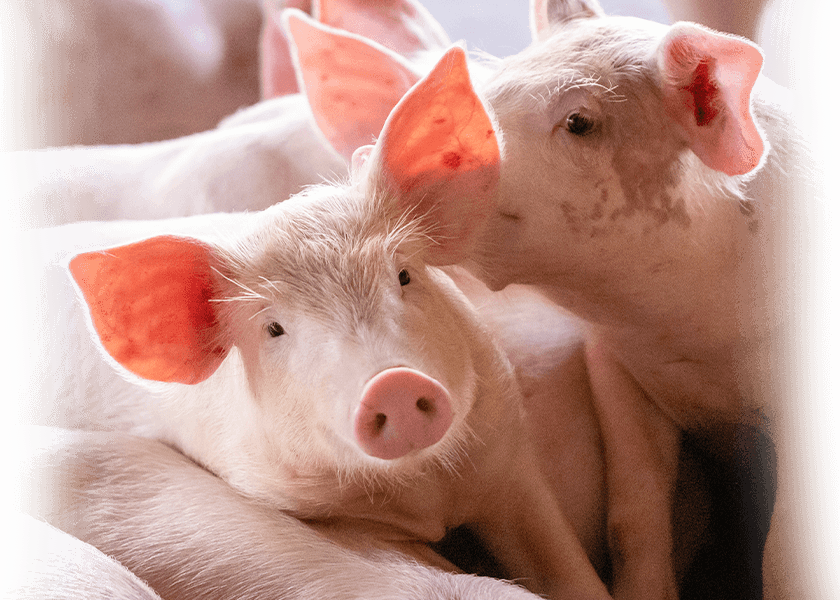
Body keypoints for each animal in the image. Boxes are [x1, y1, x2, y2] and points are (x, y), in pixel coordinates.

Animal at [10, 47, 611, 600]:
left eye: (404, 275)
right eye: (274, 329)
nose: (393, 383)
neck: (428, 491)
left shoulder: (510, 455)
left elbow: (562, 560)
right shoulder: (307, 508)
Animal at [451, 0, 826, 598]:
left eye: (579, 123)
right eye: (493, 83)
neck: (696, 341)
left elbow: (785, 544)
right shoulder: (615, 367)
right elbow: (636, 512)